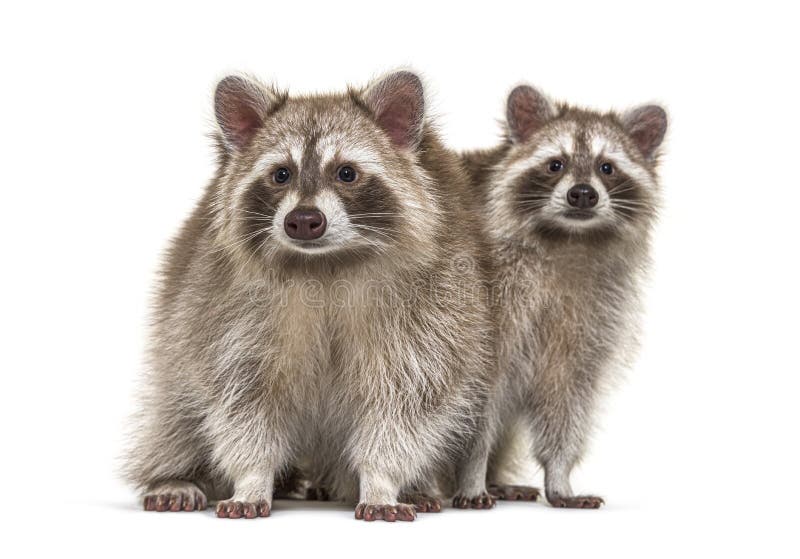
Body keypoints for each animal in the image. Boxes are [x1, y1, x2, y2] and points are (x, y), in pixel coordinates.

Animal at [124, 71, 496, 521]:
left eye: (347, 173)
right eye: (281, 174)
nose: (302, 220)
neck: (324, 262)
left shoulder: (435, 306)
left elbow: (405, 404)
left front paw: (382, 482)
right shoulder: (227, 307)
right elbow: (242, 402)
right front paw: (252, 479)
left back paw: (418, 486)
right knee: (173, 413)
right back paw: (174, 474)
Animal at [458, 85, 667, 508]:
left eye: (607, 168)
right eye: (556, 164)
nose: (582, 194)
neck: (569, 240)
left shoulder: (596, 309)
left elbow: (567, 396)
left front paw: (559, 475)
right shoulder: (488, 298)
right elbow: (474, 405)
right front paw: (472, 473)